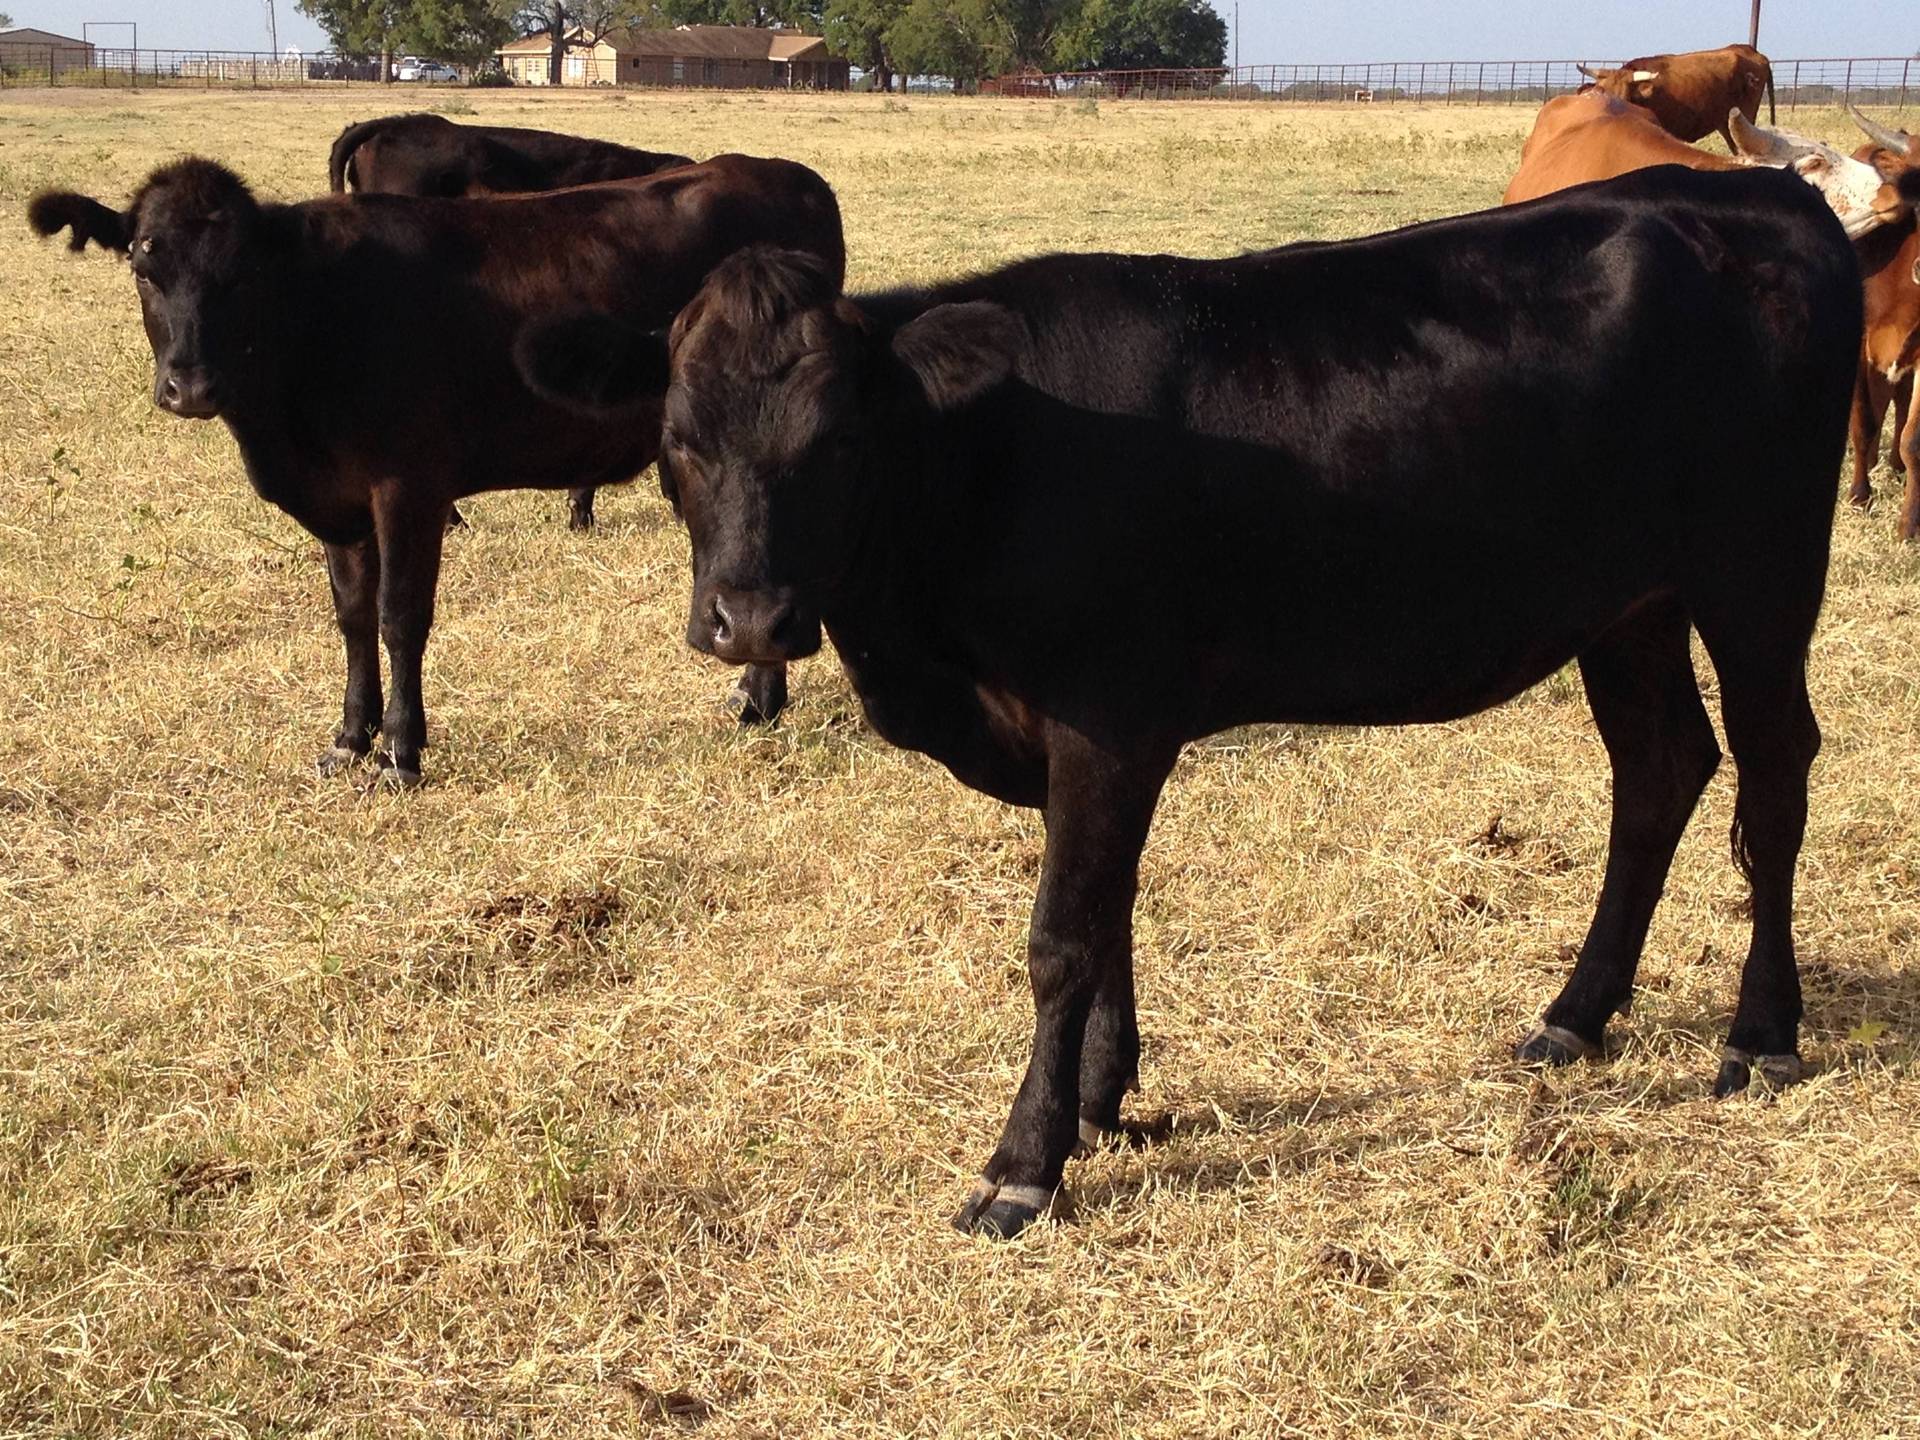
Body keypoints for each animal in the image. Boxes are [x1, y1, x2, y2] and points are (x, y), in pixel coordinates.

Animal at [518, 164, 1862, 1237]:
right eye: (679, 440)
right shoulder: (1085, 740)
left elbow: (1061, 936)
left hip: (1759, 573)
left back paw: (1761, 1032)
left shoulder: (1107, 721)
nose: (750, 620)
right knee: (1659, 769)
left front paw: (1024, 1164)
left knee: (1774, 776)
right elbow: (1105, 911)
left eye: (839, 442)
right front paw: (1102, 1100)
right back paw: (1575, 1016)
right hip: (1628, 604)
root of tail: (1748, 193)